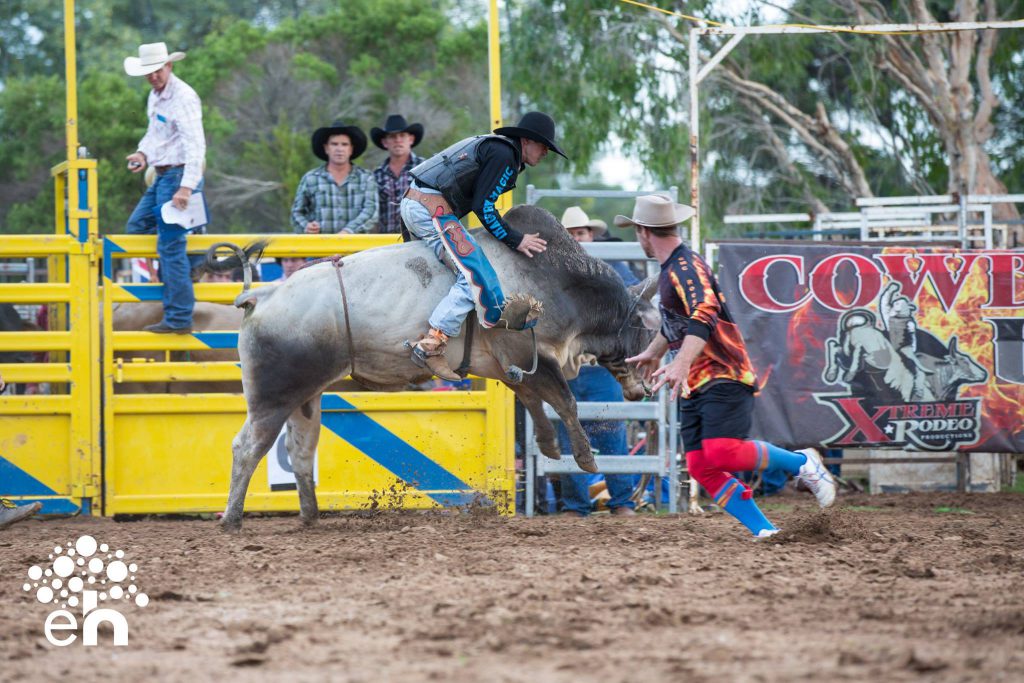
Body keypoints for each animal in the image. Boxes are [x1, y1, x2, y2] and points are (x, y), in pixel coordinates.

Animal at [209, 204, 659, 531]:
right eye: (646, 329)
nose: (646, 388)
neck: (556, 280)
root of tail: (260, 297)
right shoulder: (530, 354)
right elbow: (563, 401)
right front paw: (585, 458)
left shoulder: (508, 364)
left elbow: (532, 400)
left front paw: (548, 445)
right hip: (273, 397)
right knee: (247, 447)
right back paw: (232, 519)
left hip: (306, 397)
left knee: (300, 450)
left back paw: (309, 515)